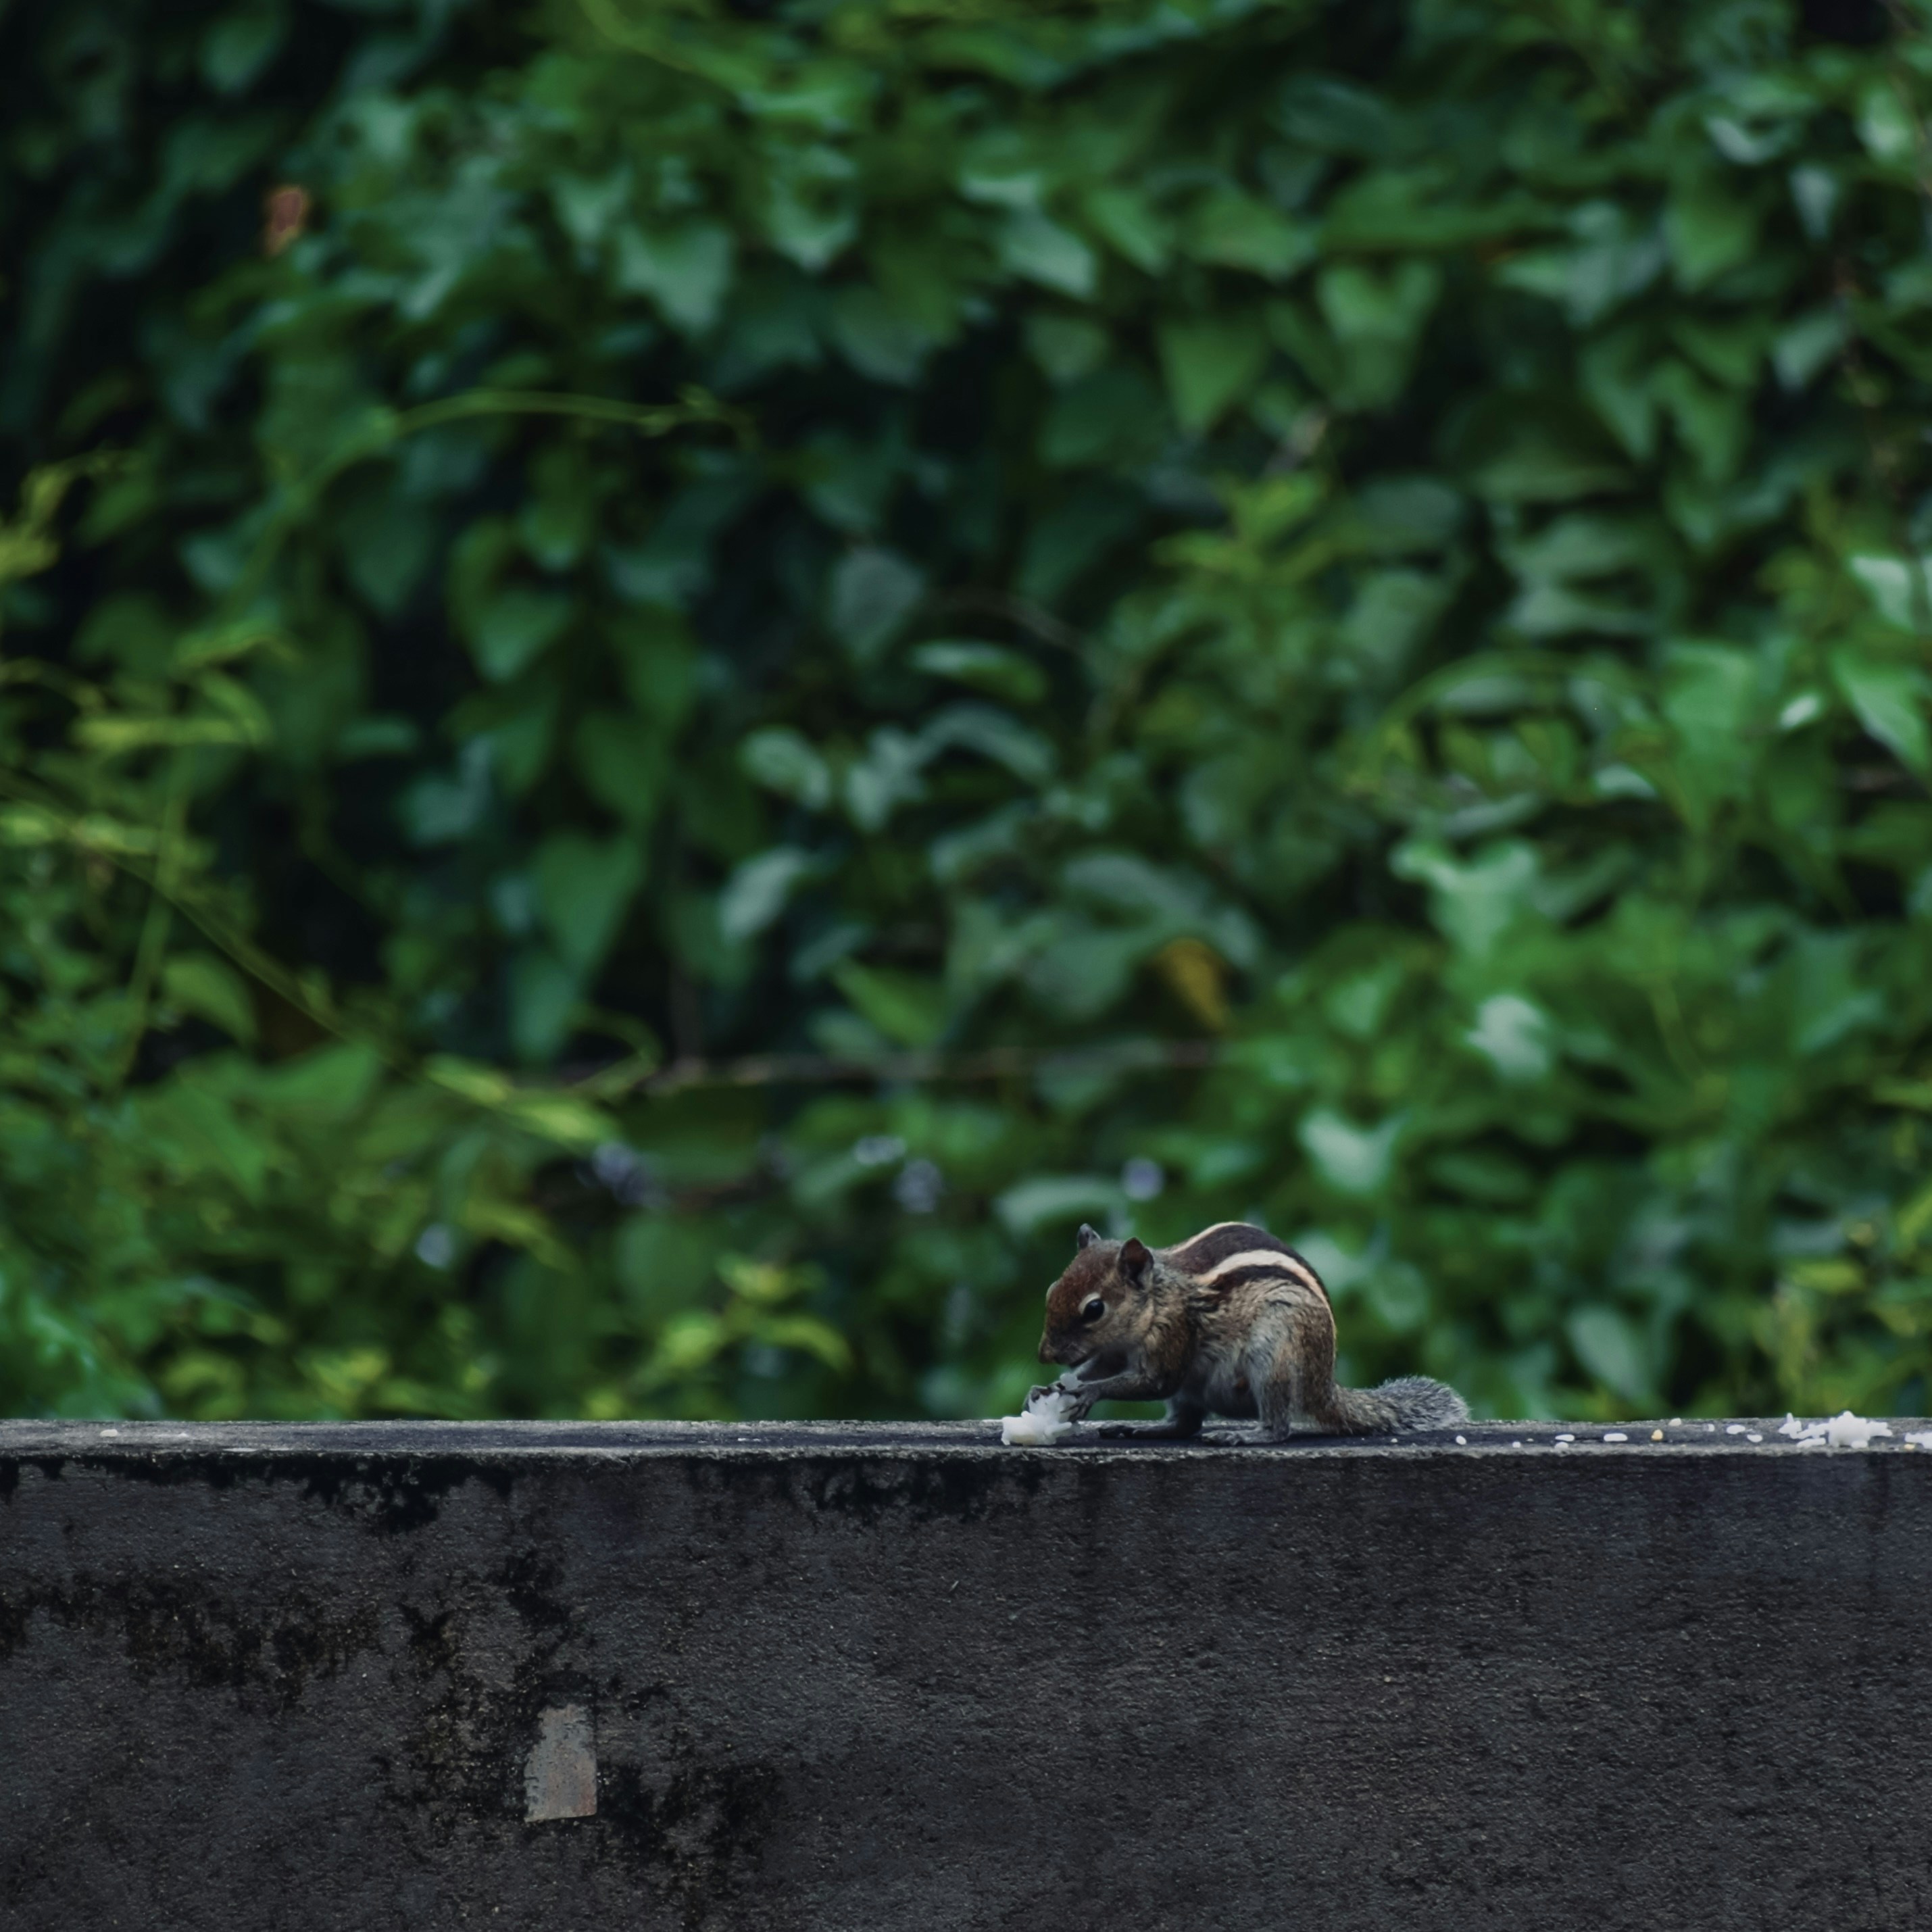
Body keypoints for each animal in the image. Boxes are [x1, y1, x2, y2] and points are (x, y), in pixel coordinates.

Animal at [1031, 1220, 1468, 1440]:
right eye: (1051, 1290)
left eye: (1094, 1309)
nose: (1045, 1354)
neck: (1157, 1298)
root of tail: (1324, 1387)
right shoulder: (1114, 1351)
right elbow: (1100, 1368)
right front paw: (1051, 1388)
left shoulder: (1174, 1333)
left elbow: (1156, 1381)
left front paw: (1087, 1393)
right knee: (1186, 1423)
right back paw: (1139, 1430)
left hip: (1275, 1353)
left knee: (1279, 1426)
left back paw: (1253, 1434)